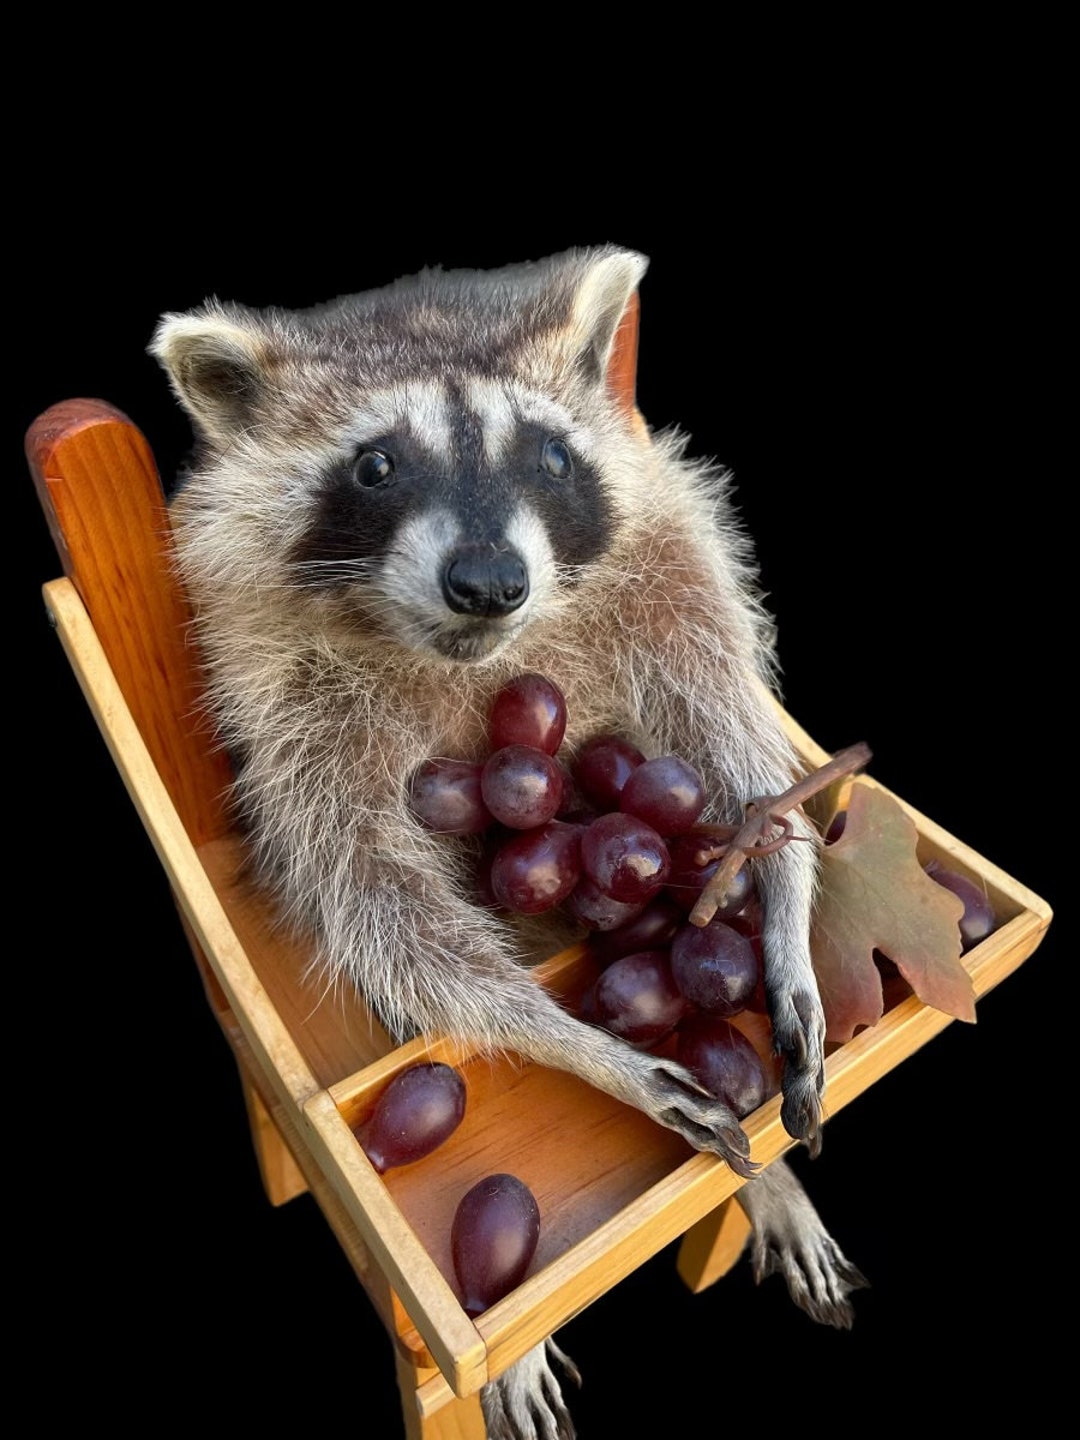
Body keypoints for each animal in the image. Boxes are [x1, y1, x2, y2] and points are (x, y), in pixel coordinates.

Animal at [151, 247, 866, 1440]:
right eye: (377, 465)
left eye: (549, 455)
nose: (488, 583)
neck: (467, 651)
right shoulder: (283, 704)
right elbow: (382, 910)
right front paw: (579, 1043)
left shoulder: (672, 565)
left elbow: (746, 744)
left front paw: (782, 901)